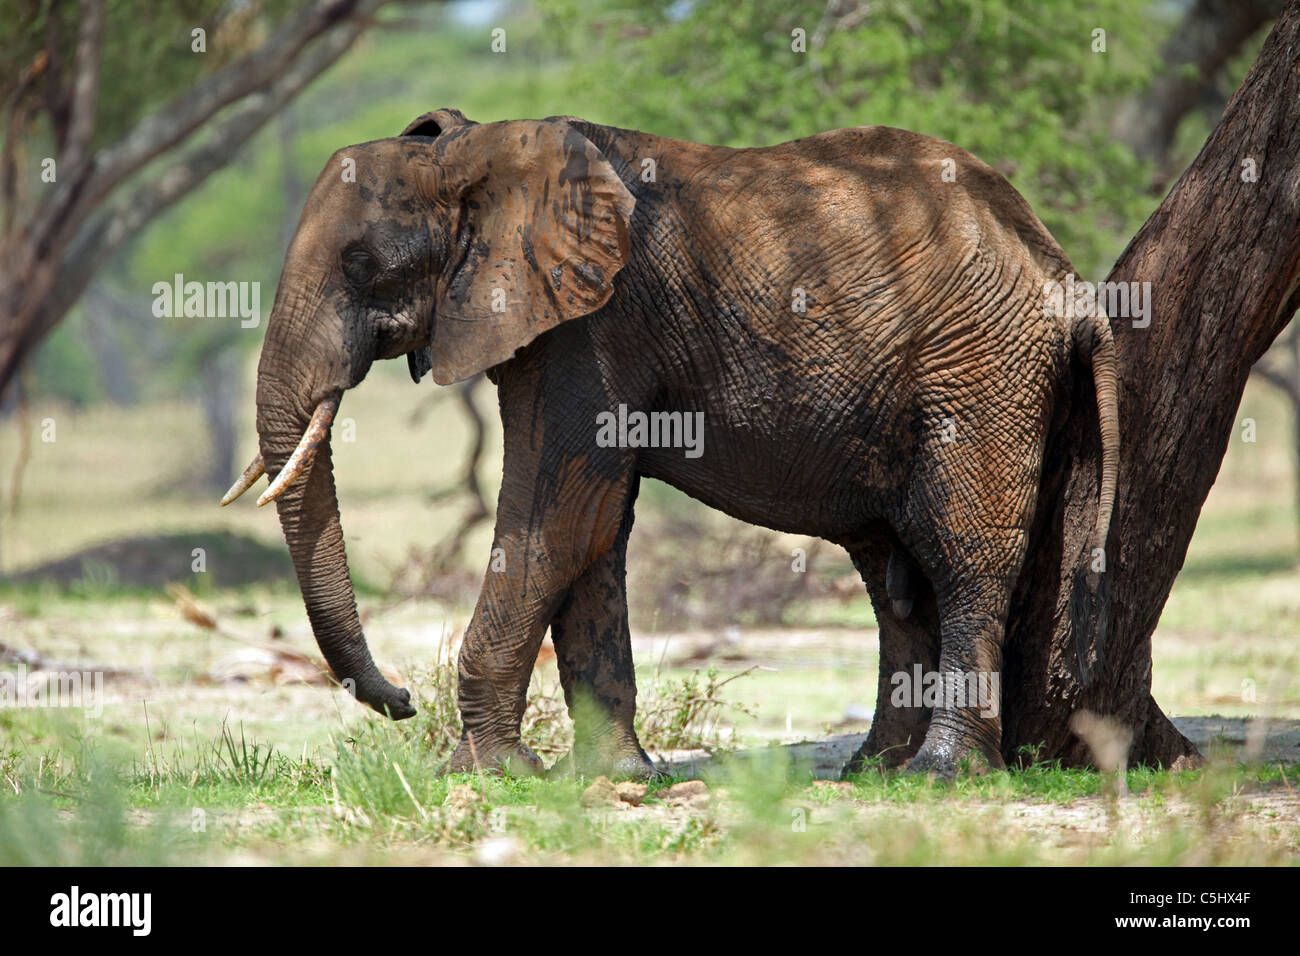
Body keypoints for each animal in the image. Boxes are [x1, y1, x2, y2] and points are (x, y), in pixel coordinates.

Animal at [222, 107, 1118, 780]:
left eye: (361, 262)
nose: (403, 699)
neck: (472, 152)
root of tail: (1062, 271)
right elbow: (592, 529)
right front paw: (610, 777)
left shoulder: (590, 324)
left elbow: (556, 513)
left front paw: (486, 774)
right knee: (891, 568)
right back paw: (874, 770)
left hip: (981, 369)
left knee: (962, 554)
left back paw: (938, 774)